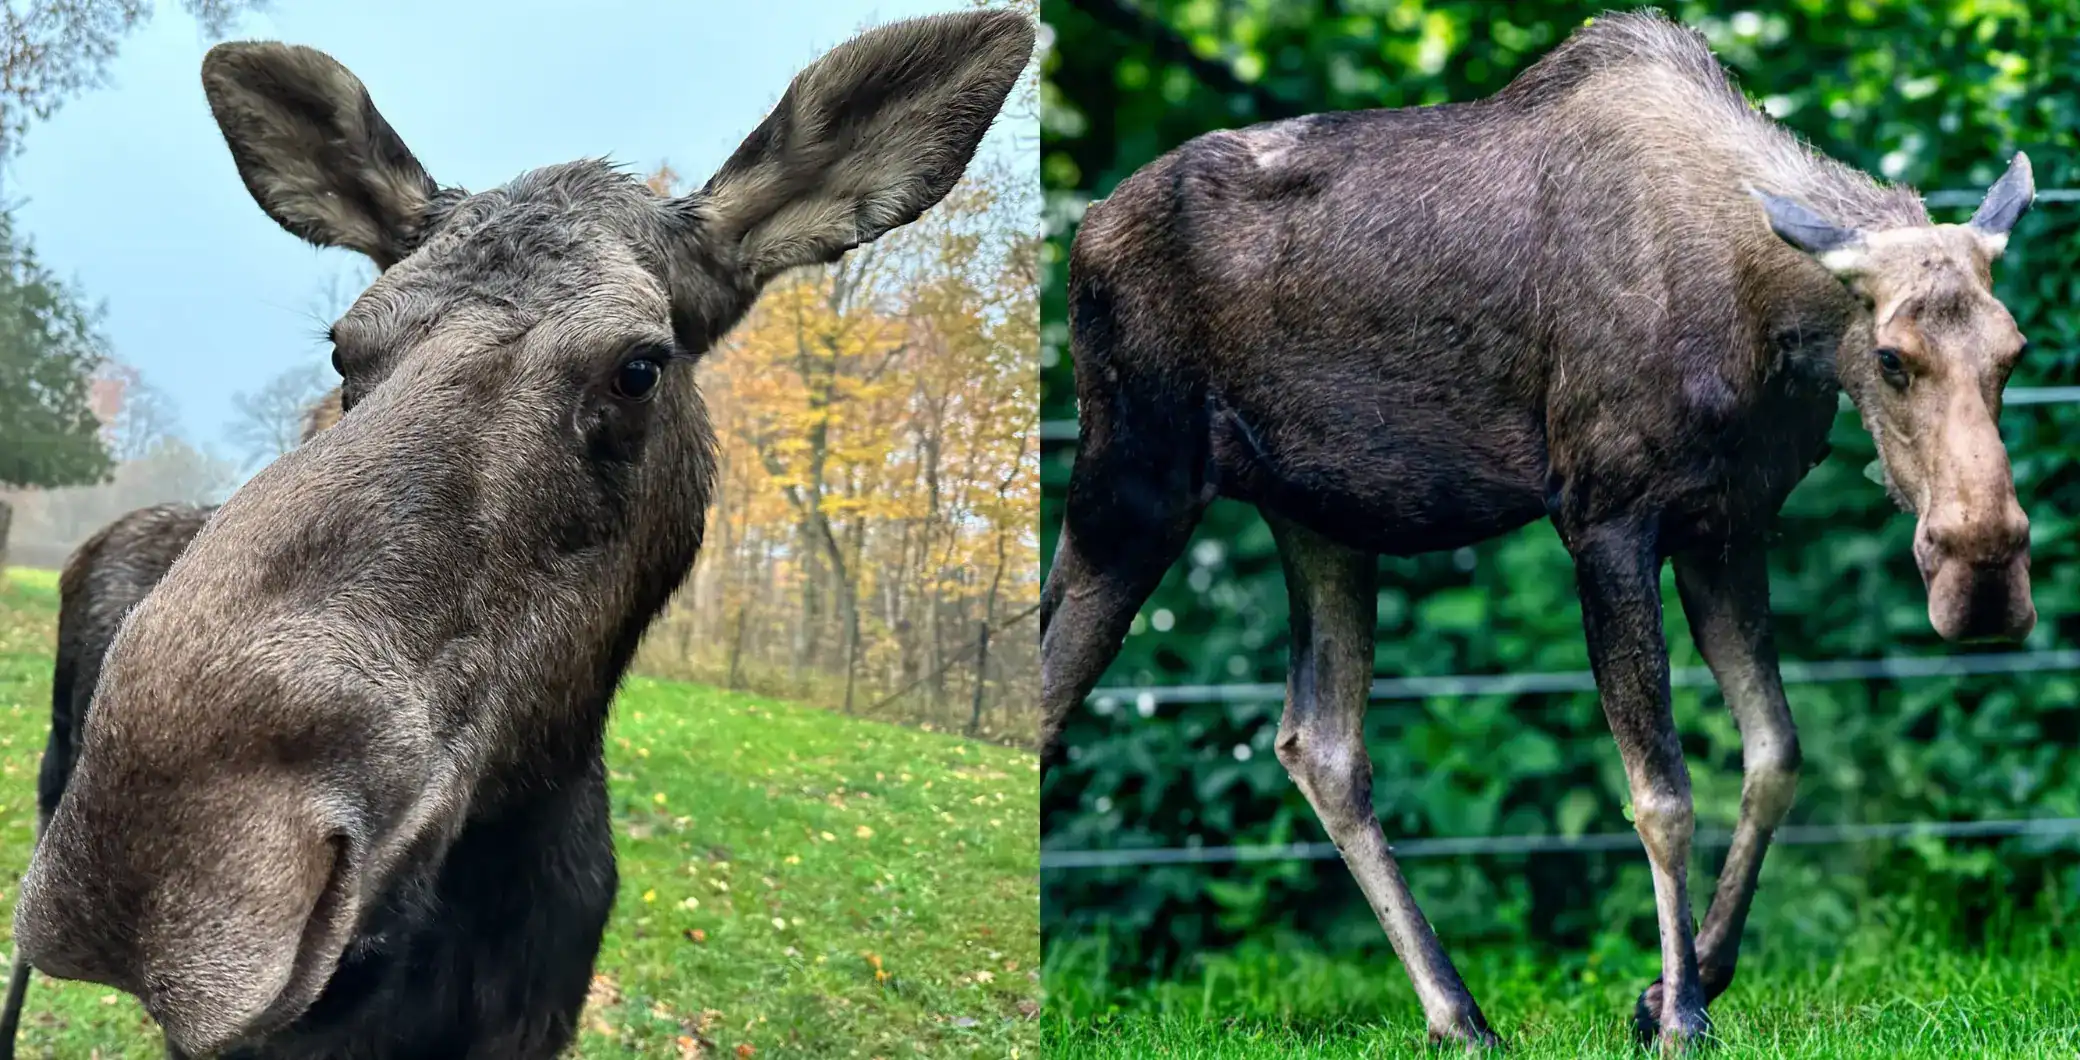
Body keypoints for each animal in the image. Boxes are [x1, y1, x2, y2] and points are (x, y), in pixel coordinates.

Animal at [1039, 10, 2035, 1051]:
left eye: (2014, 349)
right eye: (1890, 357)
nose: (1984, 571)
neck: (1777, 333)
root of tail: (1085, 231)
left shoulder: (1727, 527)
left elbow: (1773, 757)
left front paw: (1675, 987)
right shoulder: (1606, 519)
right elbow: (1662, 794)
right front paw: (1681, 1013)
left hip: (1317, 515)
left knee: (1319, 743)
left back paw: (1457, 1013)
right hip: (1135, 477)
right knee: (1044, 693)